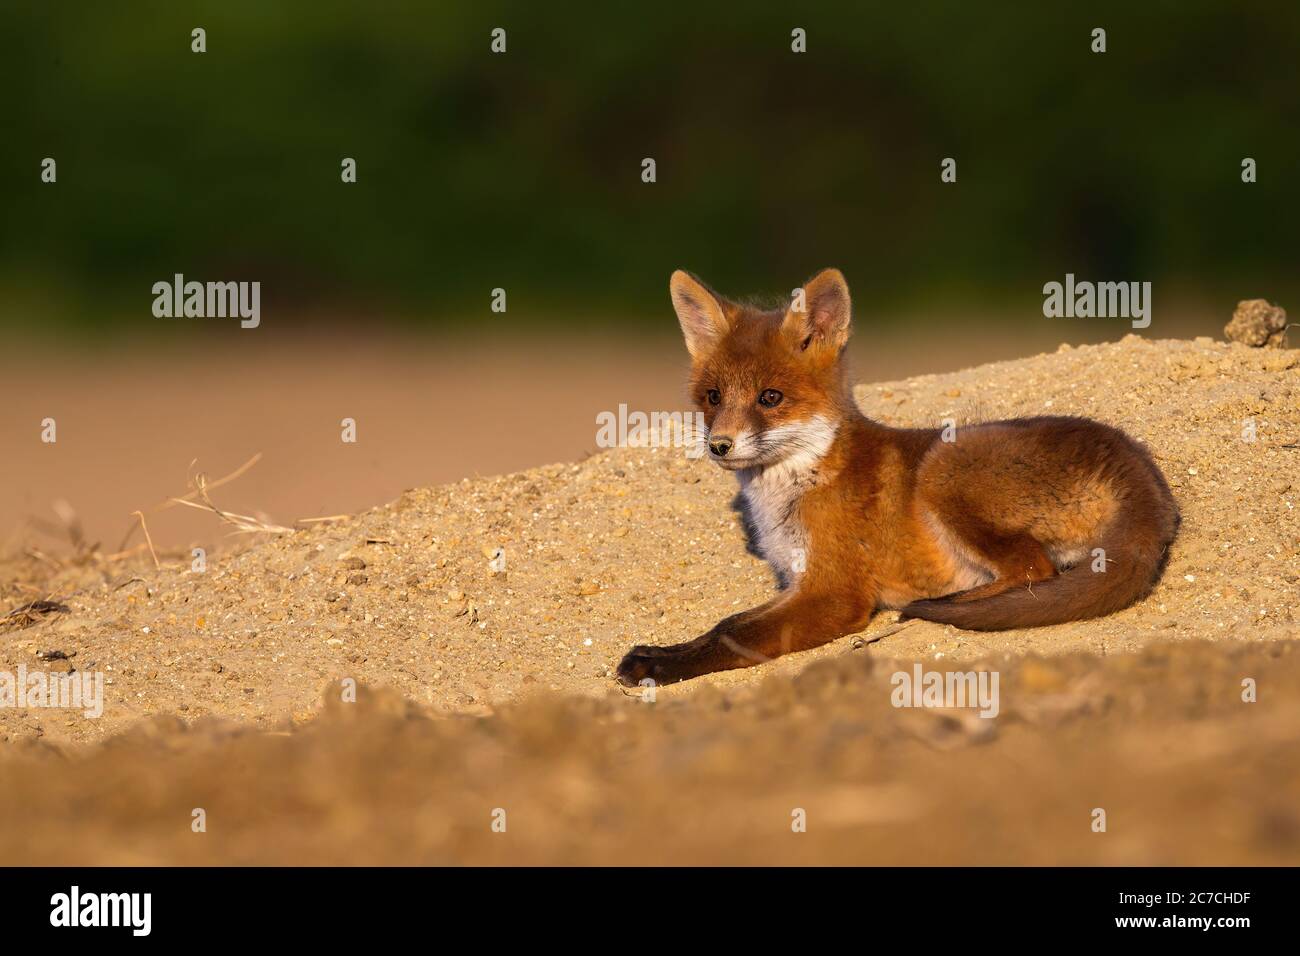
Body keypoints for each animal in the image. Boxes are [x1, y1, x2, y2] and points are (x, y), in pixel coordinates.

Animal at [615, 268, 1179, 687]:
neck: (798, 487)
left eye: (769, 398)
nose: (719, 446)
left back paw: (935, 606)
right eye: (713, 397)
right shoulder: (799, 580)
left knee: (1035, 572)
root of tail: (1130, 453)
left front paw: (660, 665)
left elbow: (734, 635)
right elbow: (728, 621)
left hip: (943, 470)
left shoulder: (836, 593)